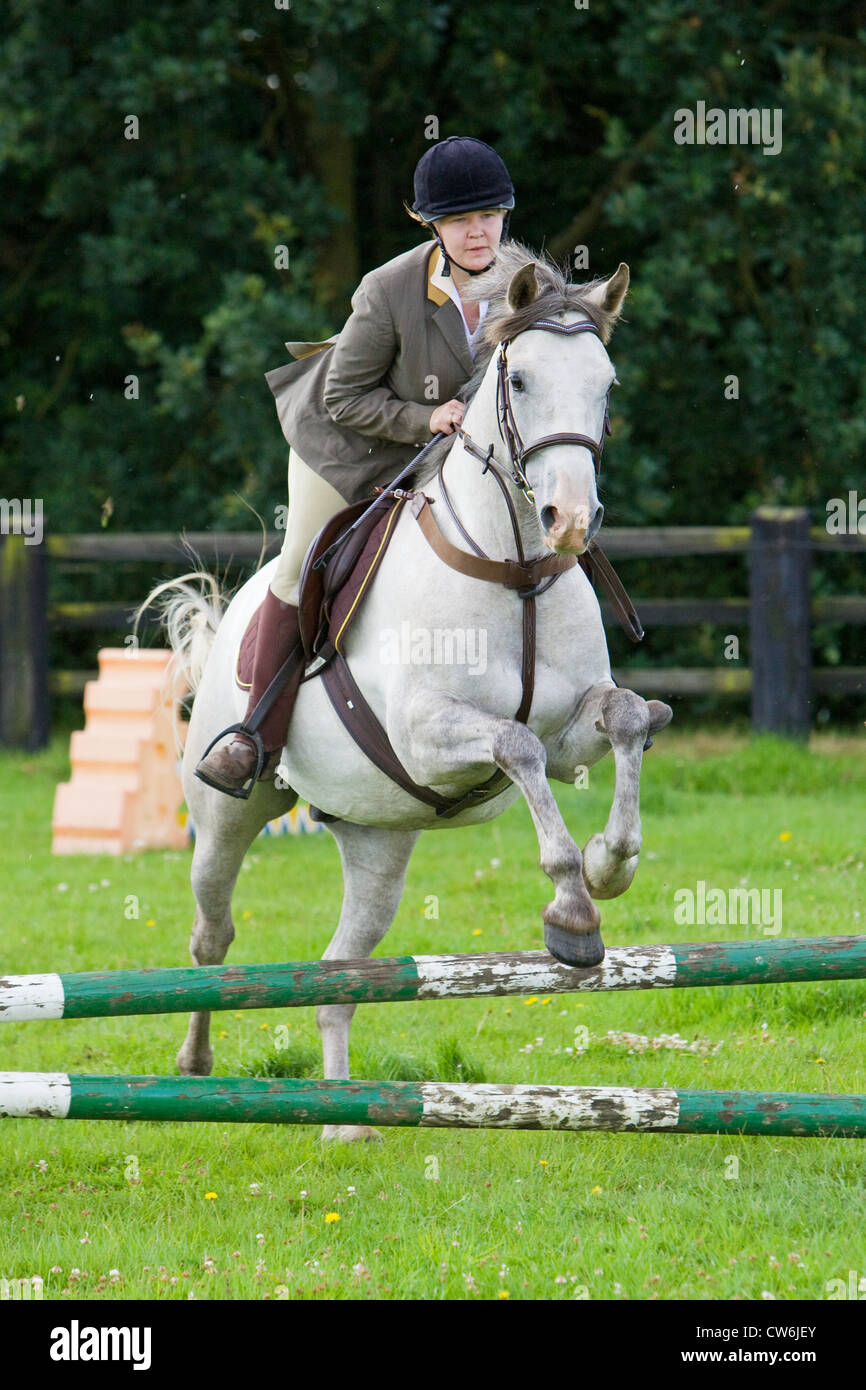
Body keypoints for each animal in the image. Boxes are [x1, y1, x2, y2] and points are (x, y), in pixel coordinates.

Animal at [144, 242, 673, 1142]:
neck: (514, 569)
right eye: (520, 379)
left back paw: (344, 1120)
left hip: (377, 840)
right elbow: (515, 742)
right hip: (225, 815)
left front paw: (609, 866)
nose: (571, 522)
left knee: (339, 975)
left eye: (606, 383)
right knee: (212, 935)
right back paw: (196, 1063)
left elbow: (626, 718)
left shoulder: (574, 730)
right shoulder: (430, 733)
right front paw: (572, 912)